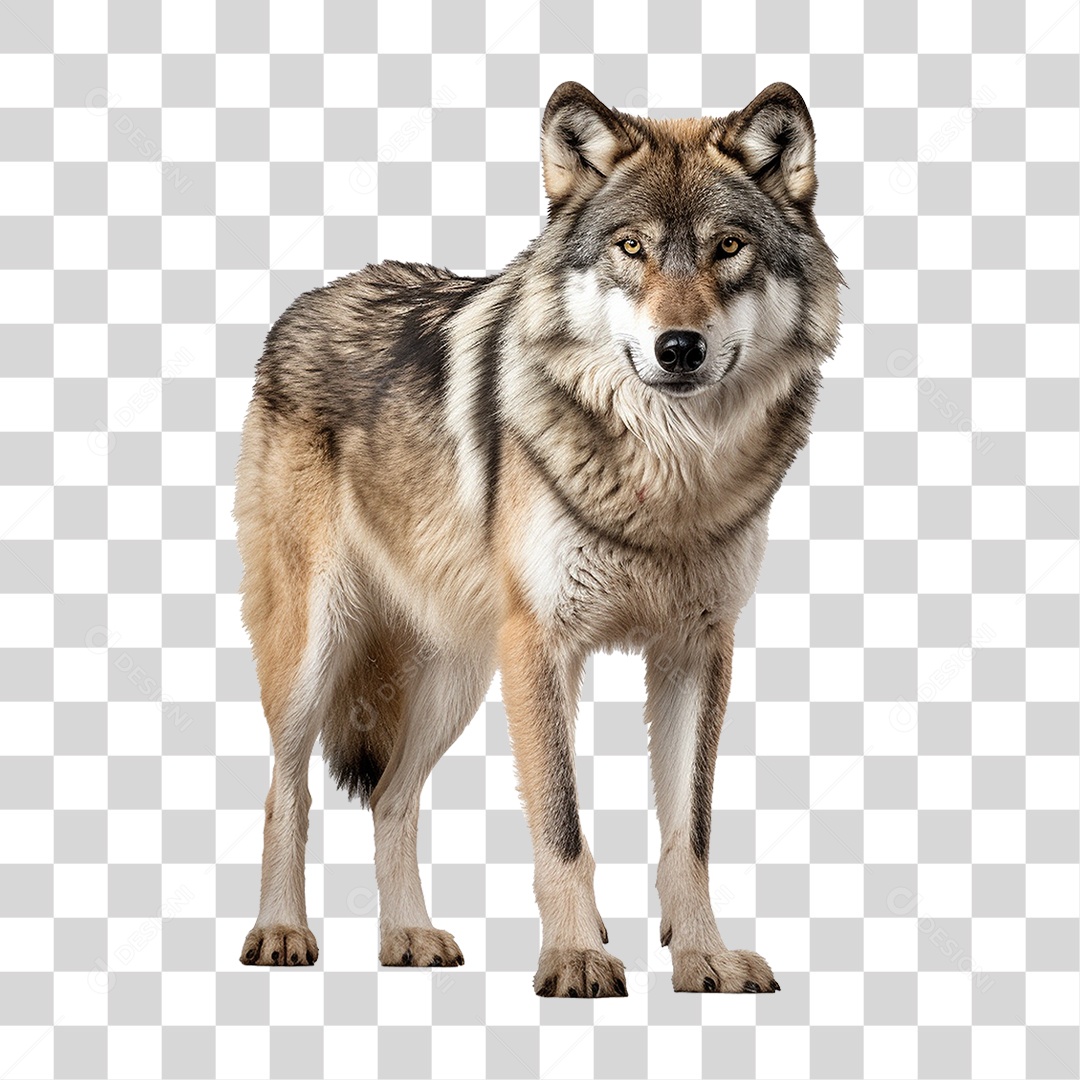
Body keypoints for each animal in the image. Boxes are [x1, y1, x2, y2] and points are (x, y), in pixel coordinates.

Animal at [235, 81, 842, 996]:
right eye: (632, 246)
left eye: (728, 247)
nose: (679, 347)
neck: (667, 479)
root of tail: (303, 306)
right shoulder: (544, 646)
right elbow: (562, 827)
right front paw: (578, 957)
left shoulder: (697, 650)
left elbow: (688, 835)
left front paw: (704, 957)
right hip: (318, 650)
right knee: (285, 791)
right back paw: (279, 931)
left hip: (458, 674)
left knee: (391, 797)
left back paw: (407, 937)